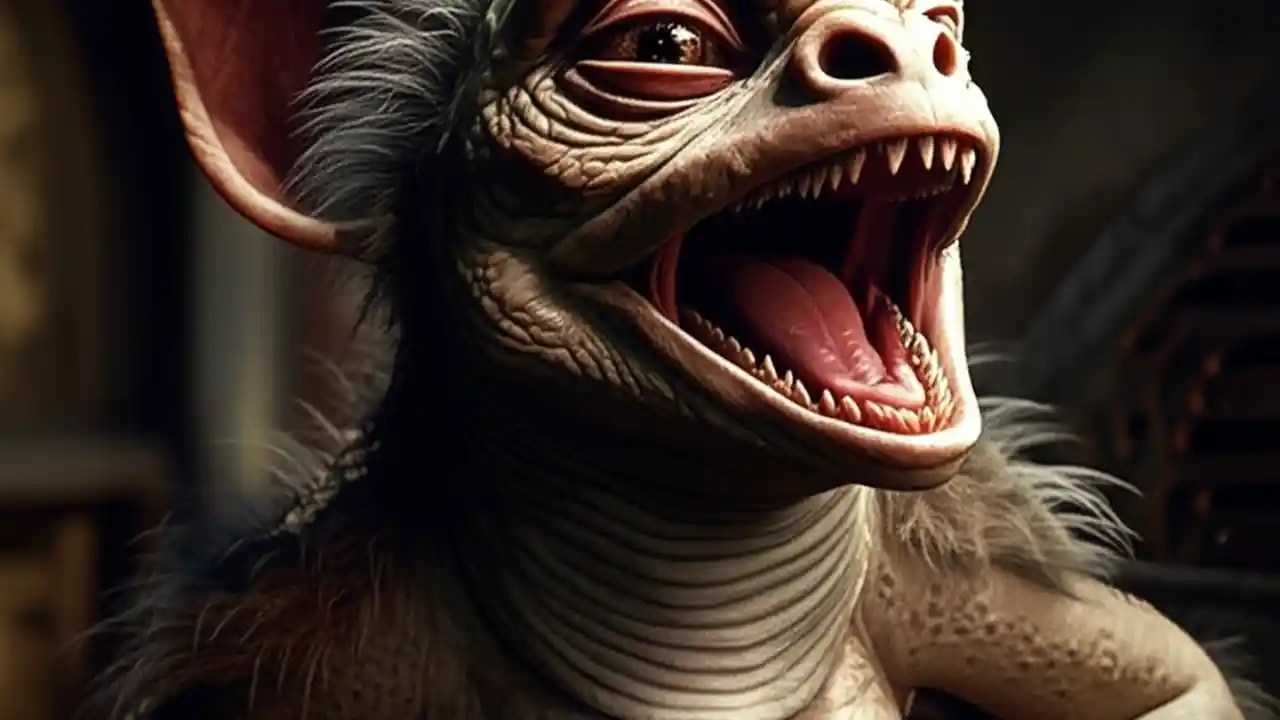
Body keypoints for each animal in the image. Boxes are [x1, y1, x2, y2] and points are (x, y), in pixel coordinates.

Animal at [85, 0, 1275, 718]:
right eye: (664, 46)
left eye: (938, 24)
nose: (907, 49)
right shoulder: (294, 647)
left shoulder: (945, 589)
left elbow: (1175, 683)